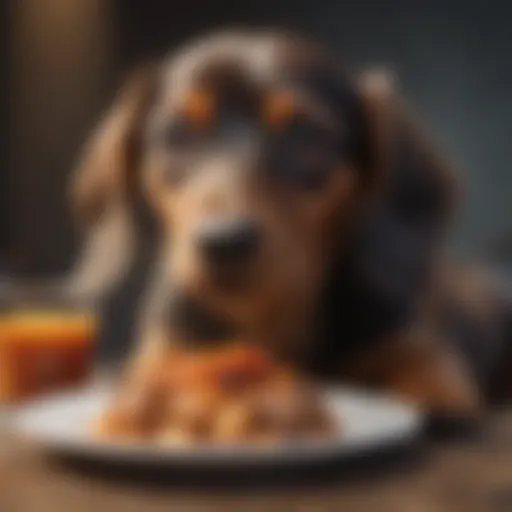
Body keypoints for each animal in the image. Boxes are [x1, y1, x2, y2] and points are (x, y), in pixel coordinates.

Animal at [68, 29, 512, 420]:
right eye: (178, 133)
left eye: (303, 132)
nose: (225, 242)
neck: (271, 318)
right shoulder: (165, 354)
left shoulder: (425, 358)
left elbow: (428, 386)